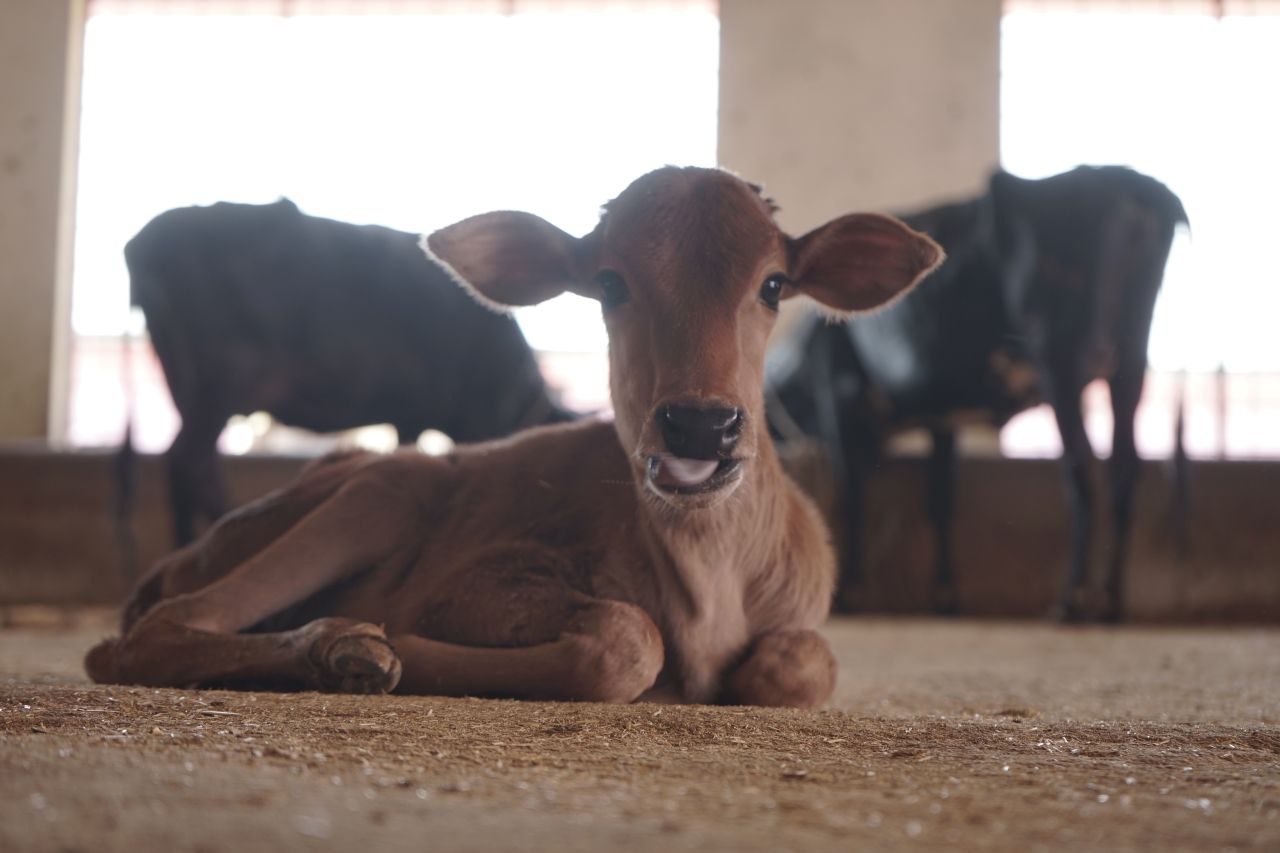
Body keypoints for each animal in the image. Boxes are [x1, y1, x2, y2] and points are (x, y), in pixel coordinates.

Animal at [122, 199, 571, 547]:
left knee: (202, 467)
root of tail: (143, 240)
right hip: (221, 379)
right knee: (186, 462)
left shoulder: (407, 415)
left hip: (190, 386)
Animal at [767, 165, 1188, 622]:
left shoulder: (838, 392)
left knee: (1081, 472)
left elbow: (852, 494)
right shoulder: (942, 418)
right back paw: (1111, 601)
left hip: (1063, 359)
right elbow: (940, 499)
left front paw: (850, 595)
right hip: (1129, 361)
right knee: (1124, 467)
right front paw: (945, 596)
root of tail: (1120, 177)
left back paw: (1072, 600)